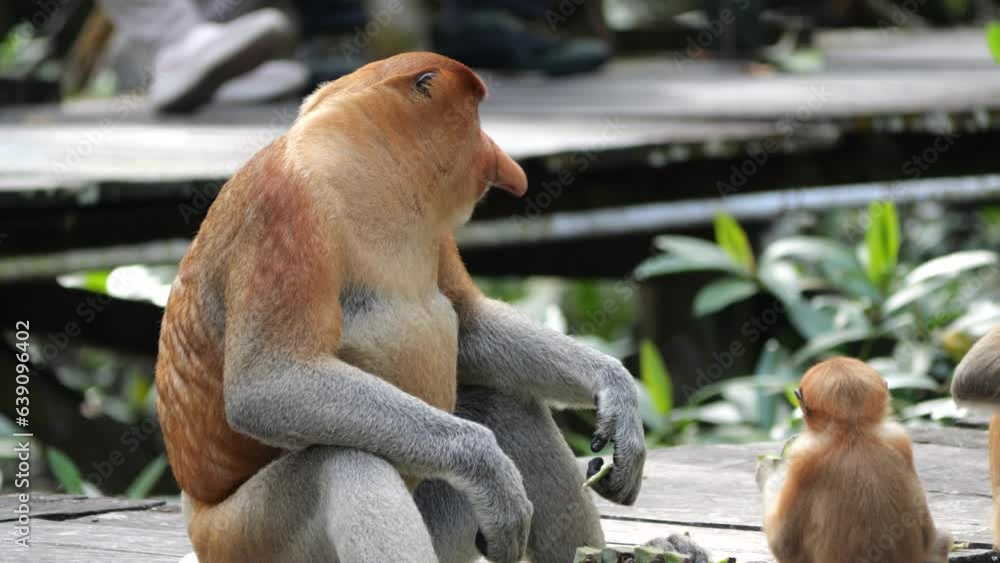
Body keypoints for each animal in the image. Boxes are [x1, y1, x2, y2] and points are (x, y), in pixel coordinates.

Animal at [155, 52, 649, 563]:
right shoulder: (284, 209)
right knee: (346, 463)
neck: (356, 160)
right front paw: (490, 470)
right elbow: (268, 382)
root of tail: (197, 522)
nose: (507, 167)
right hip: (245, 538)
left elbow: (469, 325)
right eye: (475, 119)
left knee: (502, 401)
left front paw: (617, 394)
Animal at [755, 357, 949, 563]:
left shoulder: (805, 456)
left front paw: (771, 467)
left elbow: (783, 544)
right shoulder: (898, 439)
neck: (852, 430)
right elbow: (929, 536)